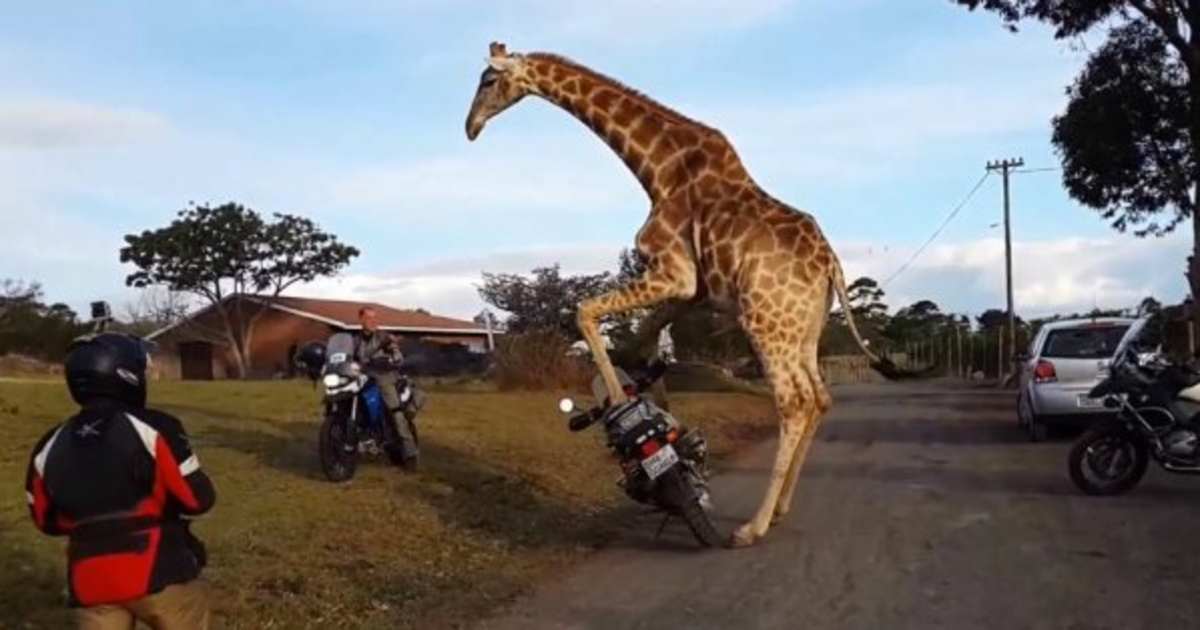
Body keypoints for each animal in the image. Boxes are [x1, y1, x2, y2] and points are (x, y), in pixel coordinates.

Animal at [465, 42, 900, 547]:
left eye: (488, 81)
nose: (470, 127)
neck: (658, 168)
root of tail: (831, 264)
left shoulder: (674, 273)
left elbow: (585, 310)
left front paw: (622, 407)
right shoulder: (695, 290)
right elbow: (644, 337)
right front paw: (647, 404)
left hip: (765, 321)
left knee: (794, 403)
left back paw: (752, 526)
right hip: (804, 327)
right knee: (820, 397)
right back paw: (780, 508)